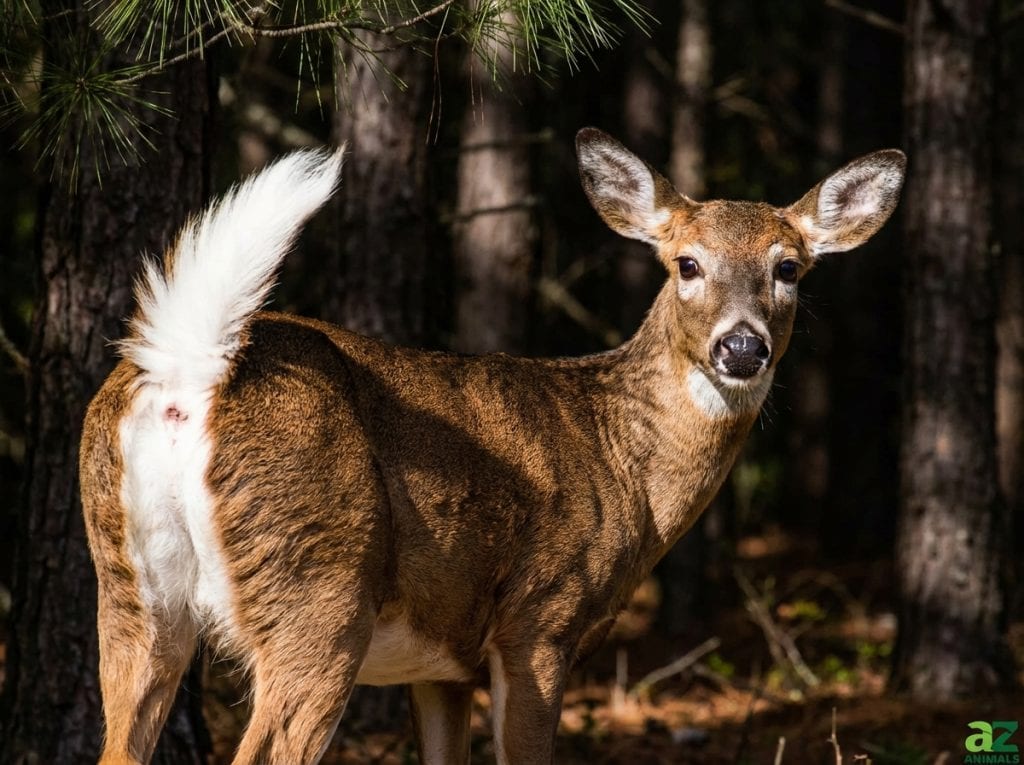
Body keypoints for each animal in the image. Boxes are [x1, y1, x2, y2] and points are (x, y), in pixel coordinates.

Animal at [80, 127, 905, 764]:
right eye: (687, 263)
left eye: (788, 267)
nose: (742, 347)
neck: (624, 459)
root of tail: (193, 364)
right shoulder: (541, 616)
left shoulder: (443, 662)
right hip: (318, 582)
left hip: (129, 585)